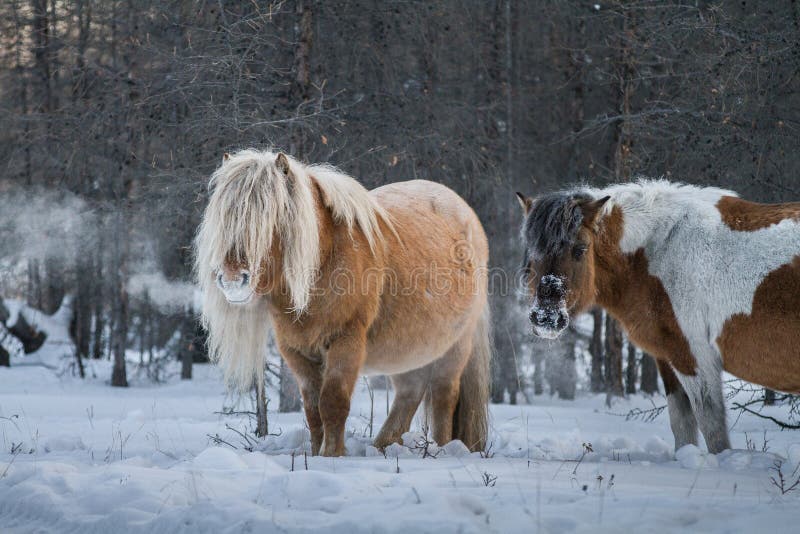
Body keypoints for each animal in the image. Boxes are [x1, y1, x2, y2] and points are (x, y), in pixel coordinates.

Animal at [195, 149, 491, 456]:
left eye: (271, 217)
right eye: (223, 218)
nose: (232, 279)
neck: (324, 262)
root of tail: (467, 216)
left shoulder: (346, 342)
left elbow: (333, 403)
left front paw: (332, 455)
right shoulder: (296, 351)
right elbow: (313, 409)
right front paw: (315, 454)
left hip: (456, 345)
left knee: (445, 394)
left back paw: (443, 450)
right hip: (410, 348)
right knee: (411, 391)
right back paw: (384, 446)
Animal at [515, 179, 800, 454]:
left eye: (580, 249)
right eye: (532, 252)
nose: (546, 318)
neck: (658, 250)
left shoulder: (694, 357)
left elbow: (711, 426)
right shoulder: (668, 358)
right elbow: (682, 423)